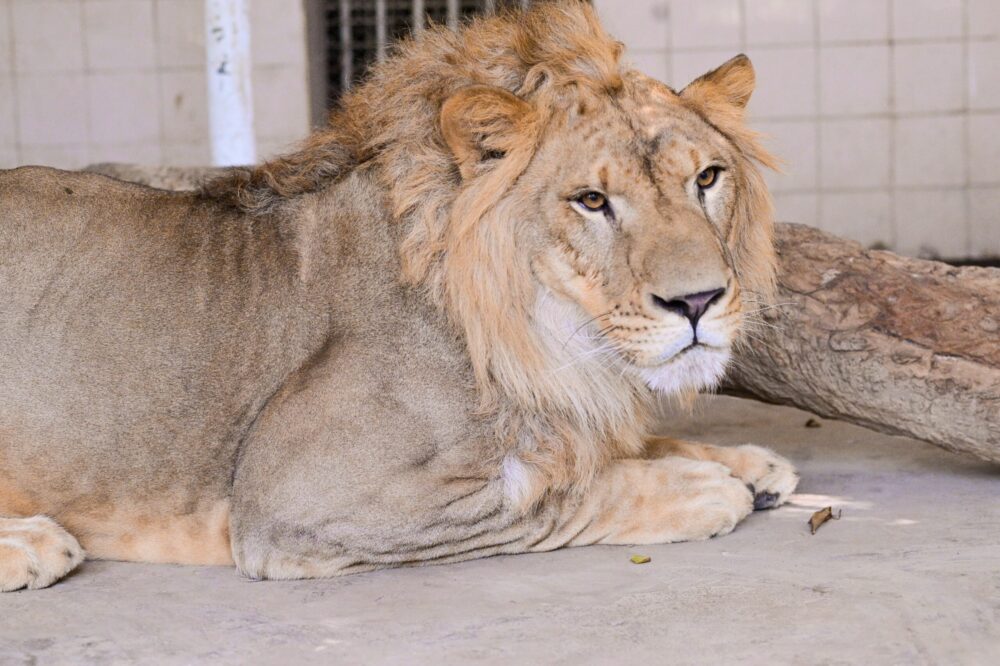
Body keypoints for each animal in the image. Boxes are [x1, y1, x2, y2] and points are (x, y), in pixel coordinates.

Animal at [0, 1, 797, 591]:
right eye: (592, 200)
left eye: (707, 177)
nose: (699, 301)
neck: (552, 341)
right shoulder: (295, 498)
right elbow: (556, 491)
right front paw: (701, 486)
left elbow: (596, 450)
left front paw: (745, 463)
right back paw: (33, 544)